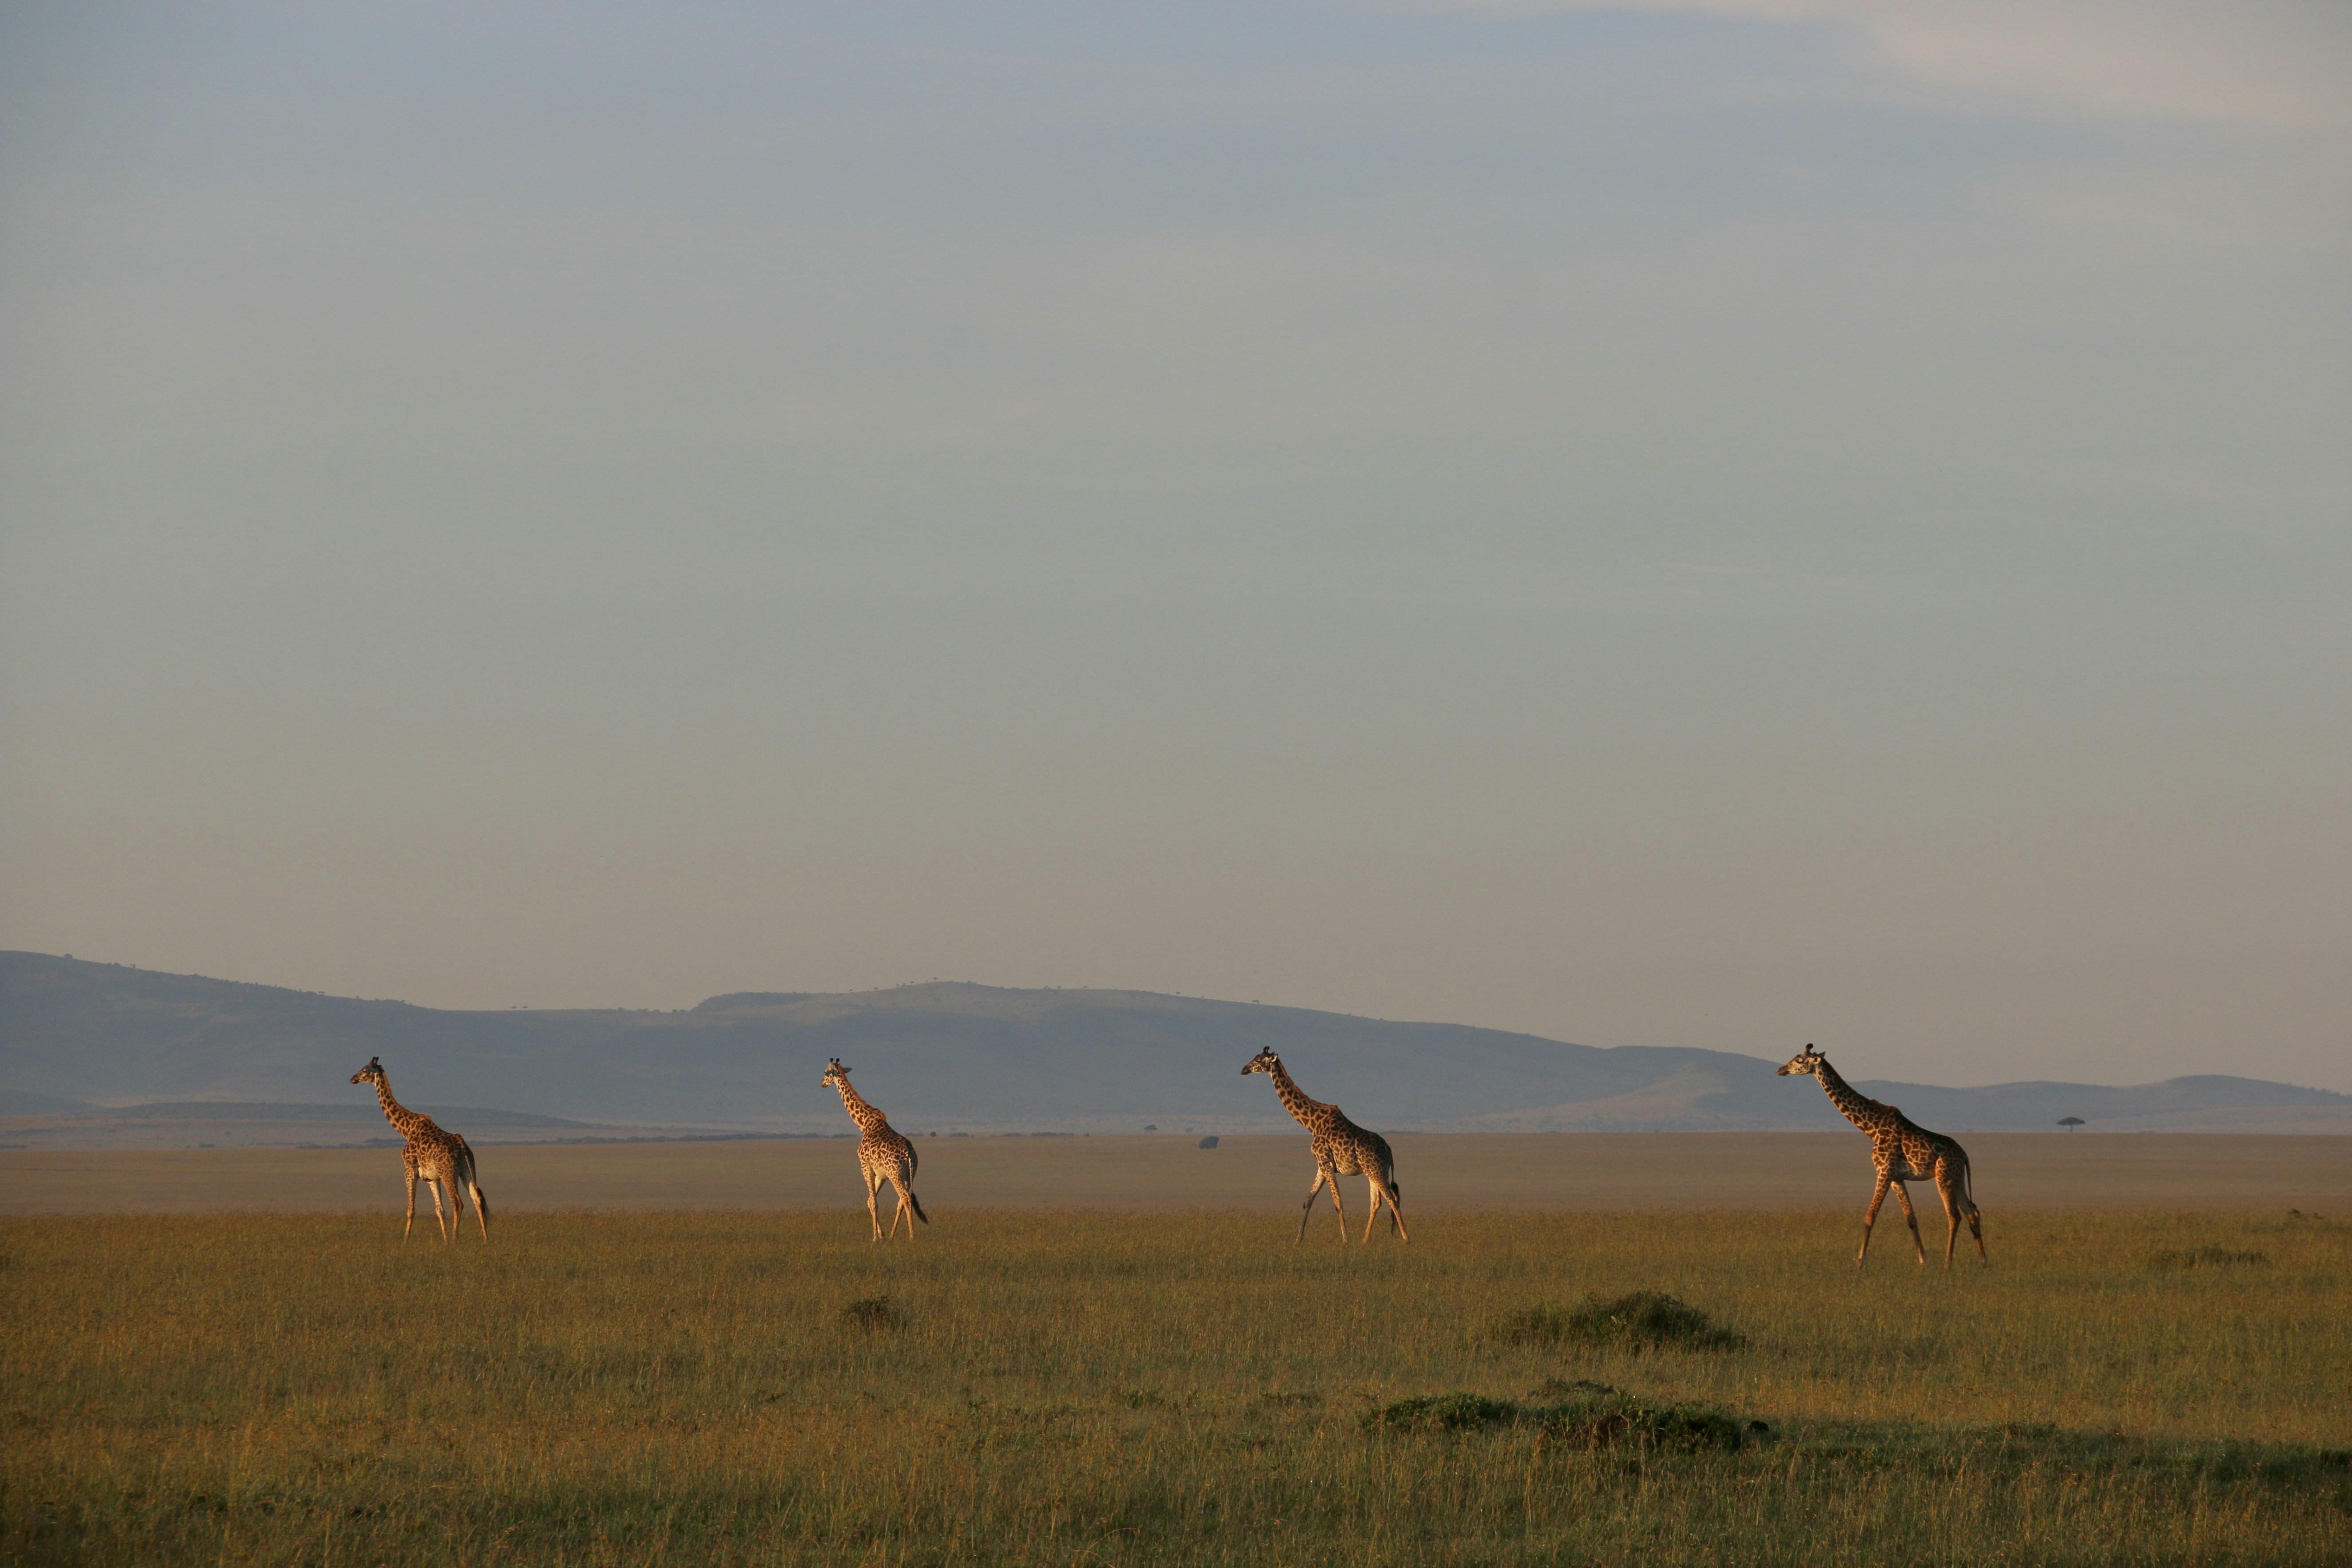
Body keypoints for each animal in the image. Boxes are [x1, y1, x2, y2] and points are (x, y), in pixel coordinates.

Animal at [348, 1057, 489, 1242]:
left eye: (365, 1070)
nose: (352, 1079)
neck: (407, 1129)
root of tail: (463, 1147)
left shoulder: (410, 1169)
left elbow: (411, 1210)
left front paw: (405, 1241)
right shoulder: (431, 1178)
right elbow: (439, 1210)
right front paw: (444, 1241)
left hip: (448, 1173)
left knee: (458, 1203)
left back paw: (455, 1240)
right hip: (466, 1170)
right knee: (477, 1198)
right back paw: (486, 1240)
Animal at [820, 1058, 929, 1241]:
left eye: (826, 1071)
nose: (822, 1083)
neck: (864, 1123)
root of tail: (909, 1153)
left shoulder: (865, 1165)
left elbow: (873, 1202)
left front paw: (875, 1238)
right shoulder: (880, 1174)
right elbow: (870, 1201)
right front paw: (882, 1235)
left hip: (895, 1174)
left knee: (905, 1198)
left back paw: (912, 1237)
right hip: (909, 1175)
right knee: (902, 1200)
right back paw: (892, 1235)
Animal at [1240, 1046, 1407, 1243]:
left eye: (1259, 1060)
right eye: (1255, 1057)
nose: (1244, 1070)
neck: (1312, 1123)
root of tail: (1390, 1151)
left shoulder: (1326, 1163)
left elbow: (1338, 1202)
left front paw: (1345, 1241)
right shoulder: (1322, 1165)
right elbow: (1308, 1200)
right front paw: (1298, 1240)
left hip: (1377, 1170)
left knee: (1392, 1199)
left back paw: (1406, 1239)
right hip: (1371, 1172)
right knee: (1376, 1203)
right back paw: (1364, 1241)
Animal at [1777, 1044, 1983, 1268]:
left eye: (1799, 1060)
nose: (1781, 1070)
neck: (1870, 1127)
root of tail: (1964, 1155)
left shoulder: (1884, 1171)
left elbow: (1870, 1216)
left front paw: (1860, 1261)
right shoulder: (1896, 1178)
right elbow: (1911, 1219)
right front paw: (1923, 1260)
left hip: (1943, 1176)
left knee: (1954, 1216)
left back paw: (1948, 1263)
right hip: (1957, 1179)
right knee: (1972, 1211)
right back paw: (1984, 1261)